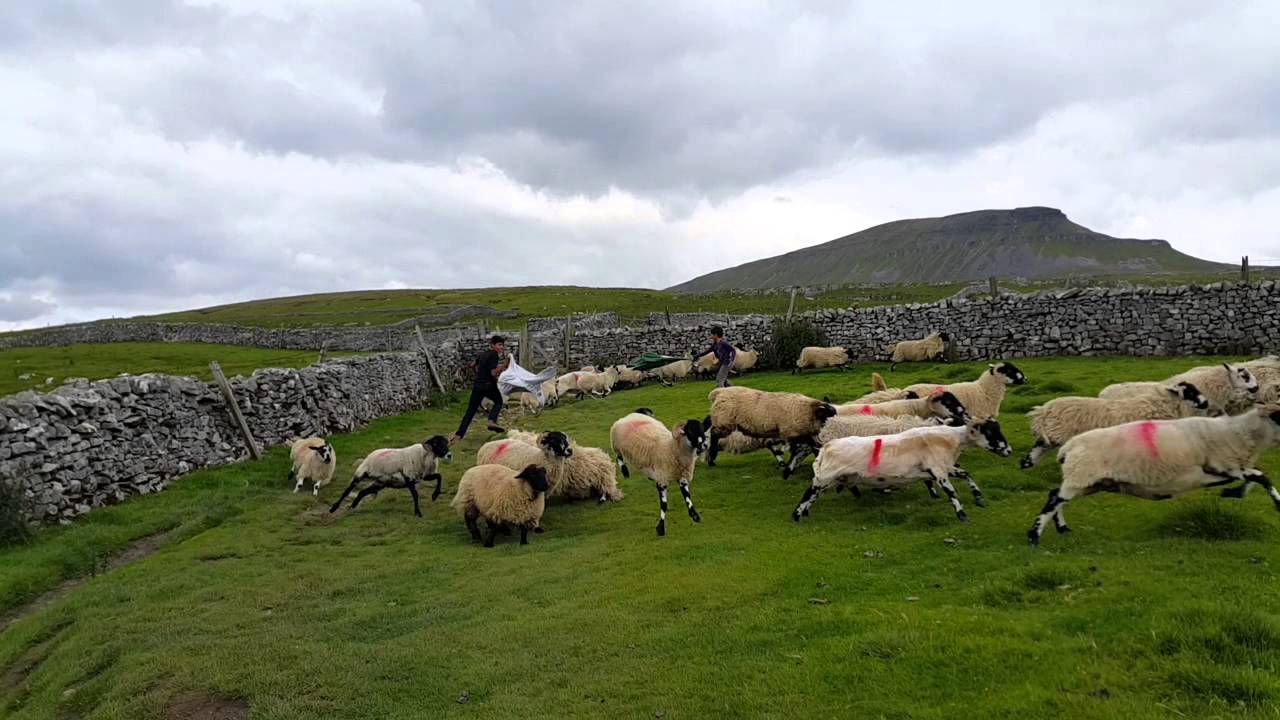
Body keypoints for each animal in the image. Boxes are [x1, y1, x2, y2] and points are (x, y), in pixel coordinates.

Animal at [705, 386, 838, 478]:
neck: (808, 410)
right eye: (827, 415)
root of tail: (718, 392)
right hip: (724, 421)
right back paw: (712, 458)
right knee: (713, 434)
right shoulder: (791, 432)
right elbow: (808, 445)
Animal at [793, 419, 1012, 523]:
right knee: (808, 494)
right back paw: (796, 517)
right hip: (825, 477)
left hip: (830, 479)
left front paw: (979, 498)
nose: (1009, 451)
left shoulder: (943, 468)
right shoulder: (939, 471)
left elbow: (967, 475)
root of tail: (825, 447)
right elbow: (952, 492)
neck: (952, 440)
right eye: (990, 432)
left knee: (813, 495)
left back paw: (805, 514)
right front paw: (962, 515)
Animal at [1020, 382, 1210, 468]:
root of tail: (1043, 410)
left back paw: (1026, 465)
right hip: (1060, 435)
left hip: (1052, 436)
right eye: (1190, 392)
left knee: (1037, 448)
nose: (1206, 403)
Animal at [1026, 404, 1280, 546]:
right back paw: (1034, 537)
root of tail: (1067, 448)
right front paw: (1277, 504)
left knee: (1055, 495)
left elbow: (1253, 479)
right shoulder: (1220, 466)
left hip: (1090, 482)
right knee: (1054, 499)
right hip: (1081, 477)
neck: (1240, 433)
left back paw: (1062, 528)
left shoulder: (1222, 471)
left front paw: (1232, 493)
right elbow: (1261, 476)